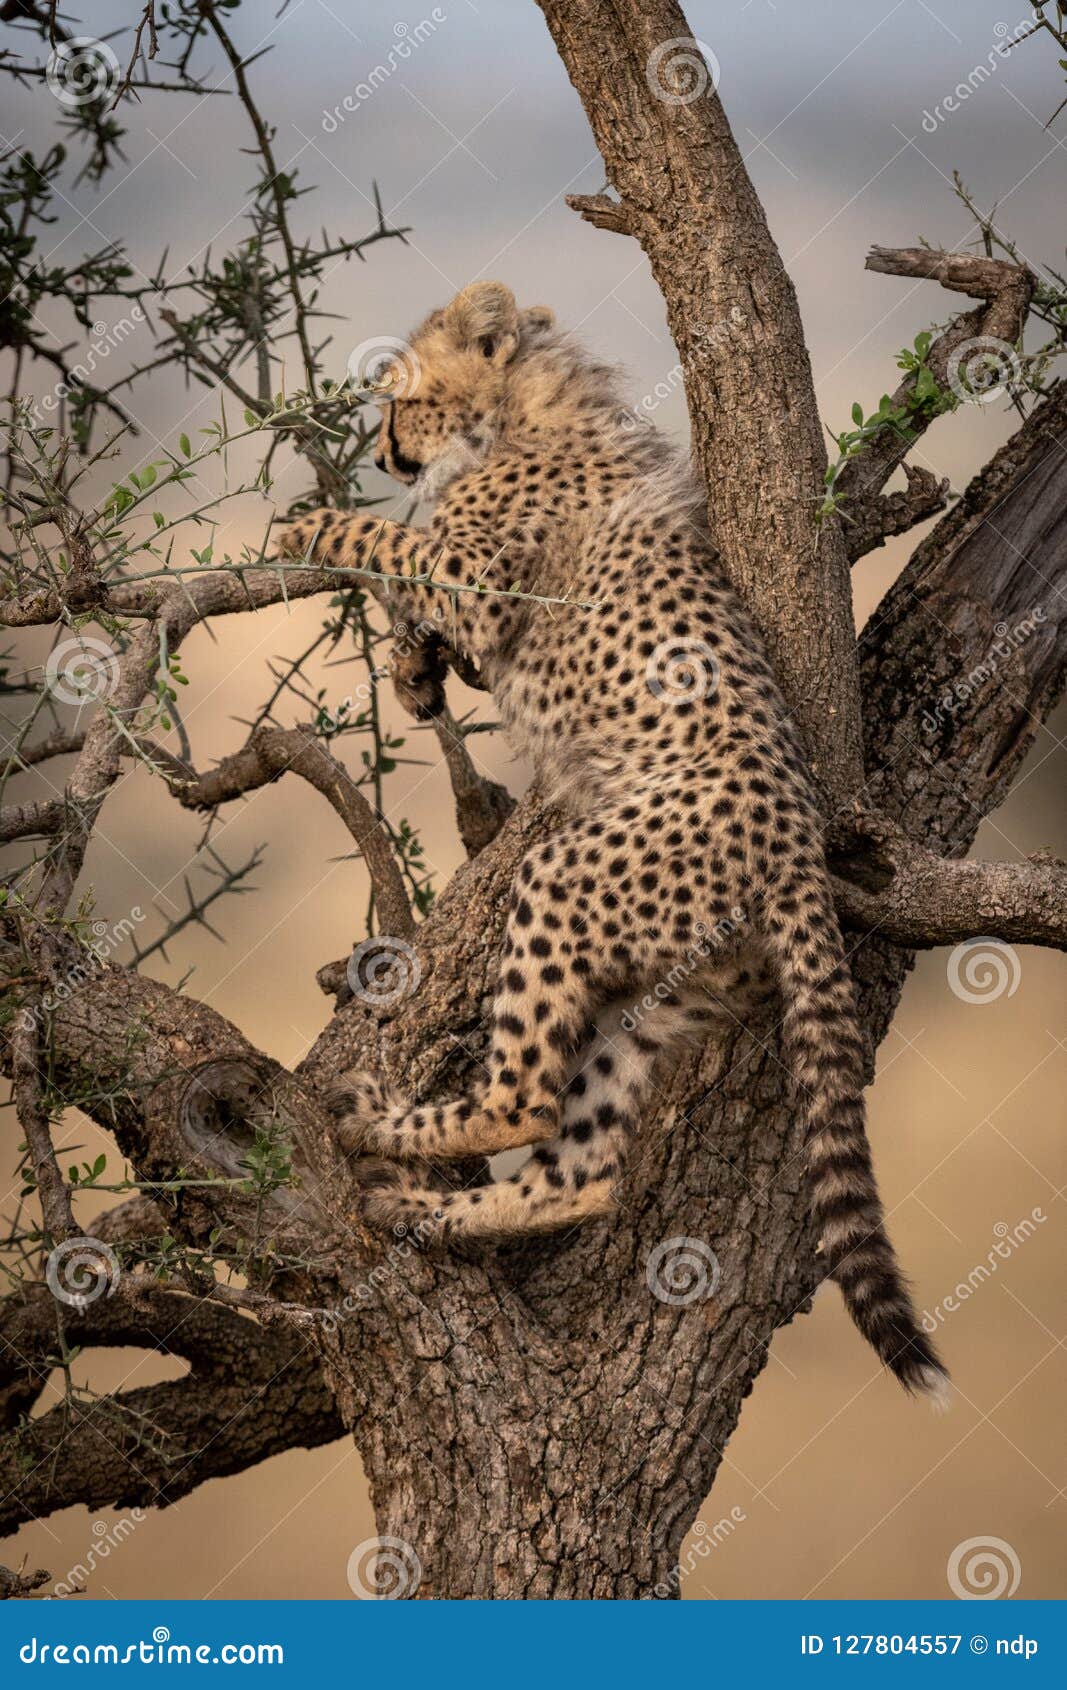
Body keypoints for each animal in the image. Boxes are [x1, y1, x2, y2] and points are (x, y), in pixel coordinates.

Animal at [278, 280, 948, 1399]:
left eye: (401, 399)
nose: (383, 452)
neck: (522, 409)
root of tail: (801, 853)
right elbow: (421, 595)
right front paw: (411, 668)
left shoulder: (477, 575)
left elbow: (399, 545)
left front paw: (318, 523)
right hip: (659, 990)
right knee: (582, 1166)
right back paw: (422, 1207)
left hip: (569, 876)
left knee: (522, 1099)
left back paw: (381, 1126)